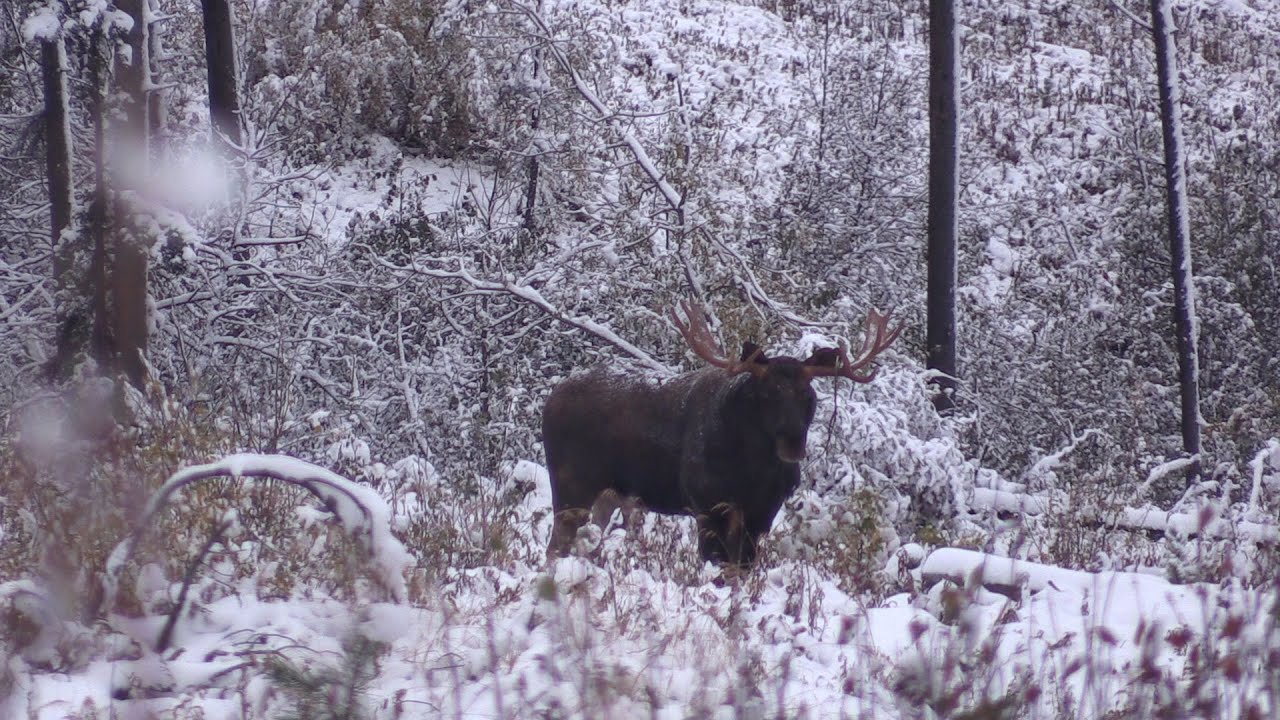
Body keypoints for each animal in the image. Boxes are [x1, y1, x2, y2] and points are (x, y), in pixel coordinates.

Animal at [541, 300, 901, 566]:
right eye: (766, 393)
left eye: (809, 395)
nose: (793, 442)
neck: (754, 472)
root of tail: (550, 399)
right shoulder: (706, 502)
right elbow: (718, 565)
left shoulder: (763, 511)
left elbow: (743, 567)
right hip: (572, 483)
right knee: (555, 547)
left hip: (609, 496)